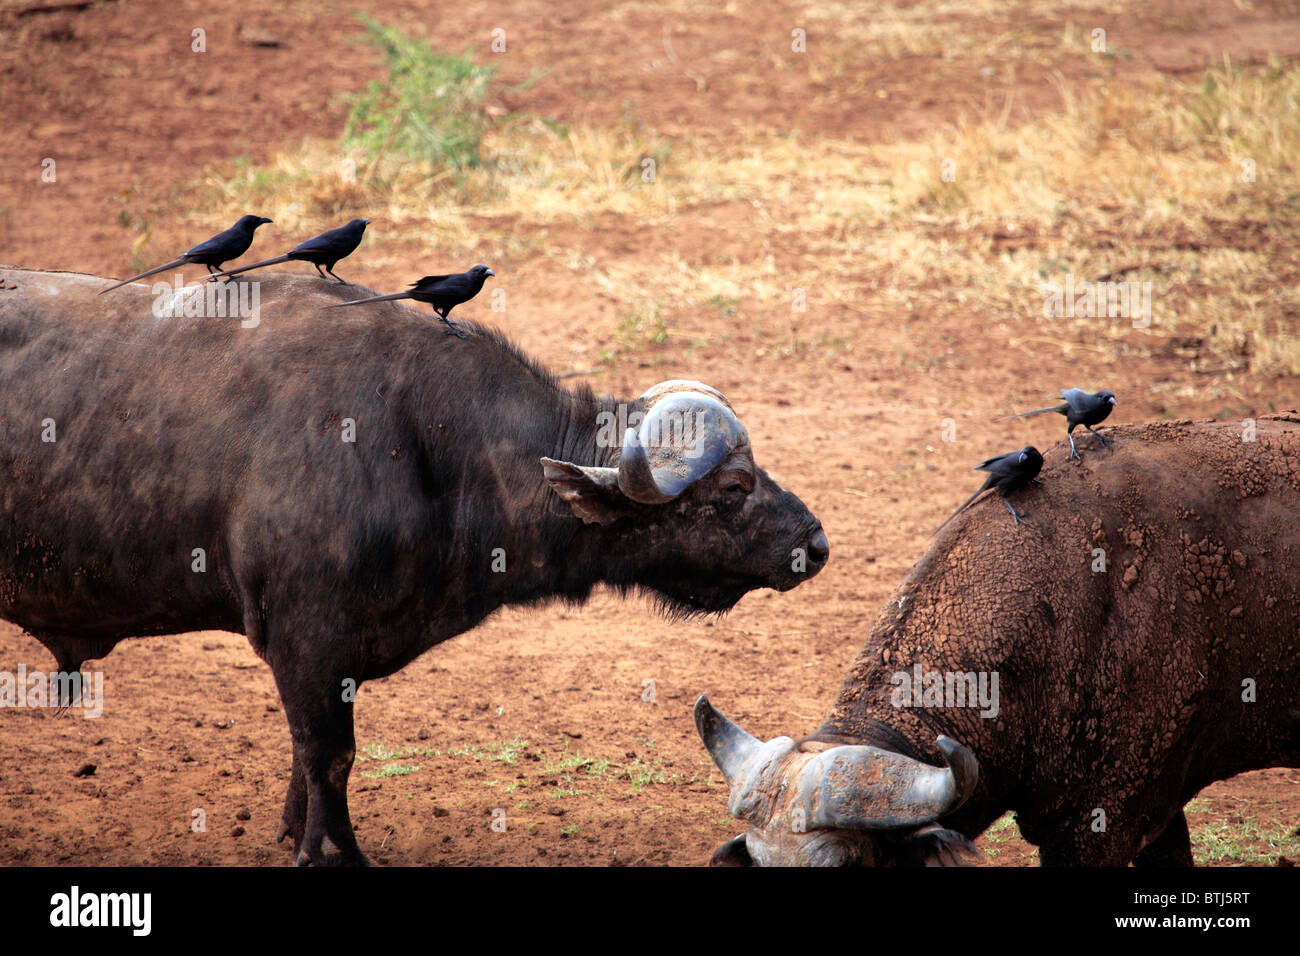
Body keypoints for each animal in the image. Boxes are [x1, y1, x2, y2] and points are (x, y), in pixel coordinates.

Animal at [0, 267, 827, 865]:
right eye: (732, 489)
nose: (816, 543)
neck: (420, 439)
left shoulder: (322, 657)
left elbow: (307, 755)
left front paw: (295, 832)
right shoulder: (307, 639)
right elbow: (331, 755)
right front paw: (331, 852)